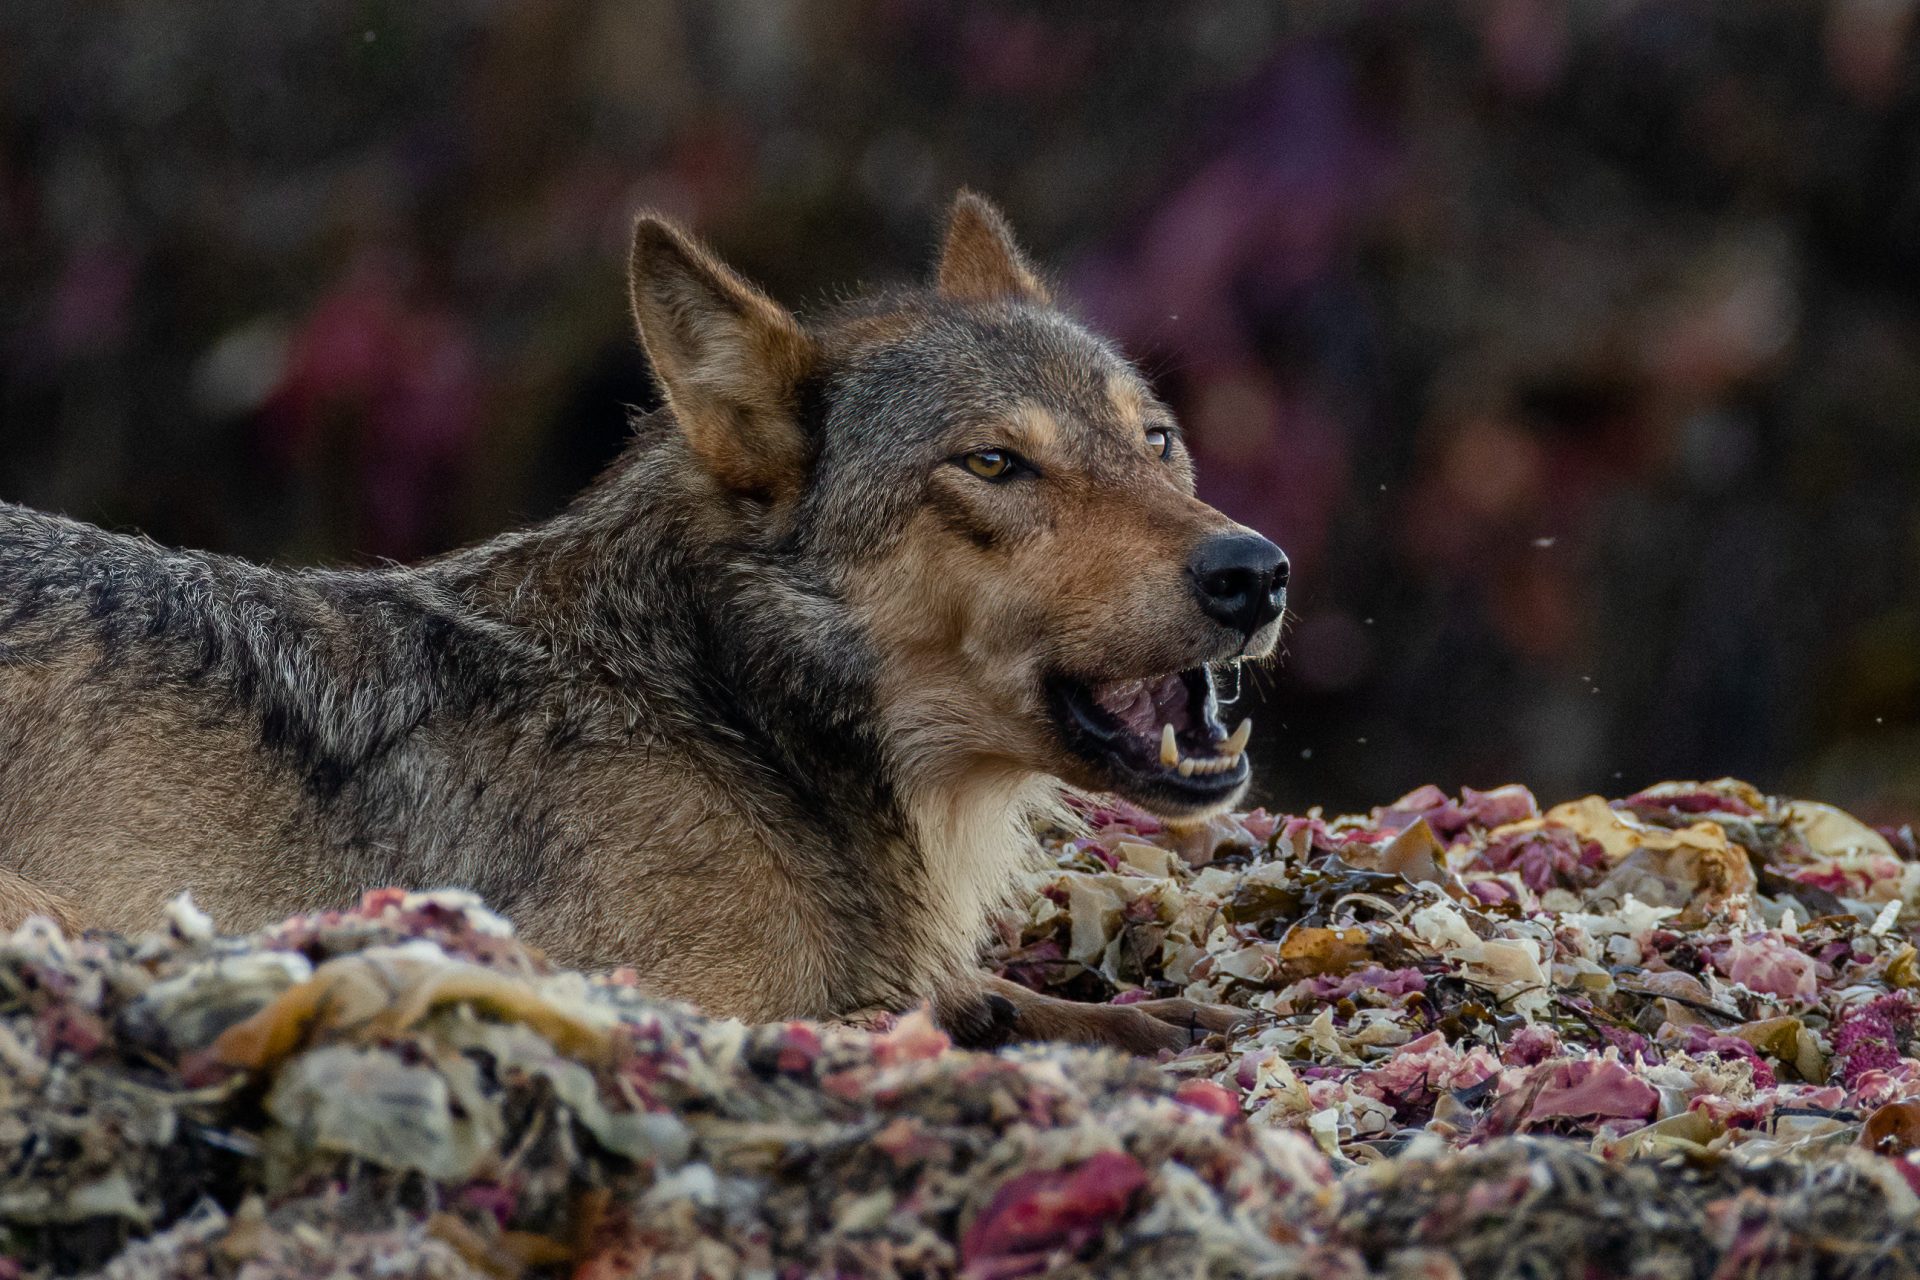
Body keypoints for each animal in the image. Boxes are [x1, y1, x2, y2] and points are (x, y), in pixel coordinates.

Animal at [0, 193, 1287, 1053]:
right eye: (995, 463)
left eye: (1157, 440)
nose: (1256, 571)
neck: (732, 721)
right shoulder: (699, 995)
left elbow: (1049, 1007)